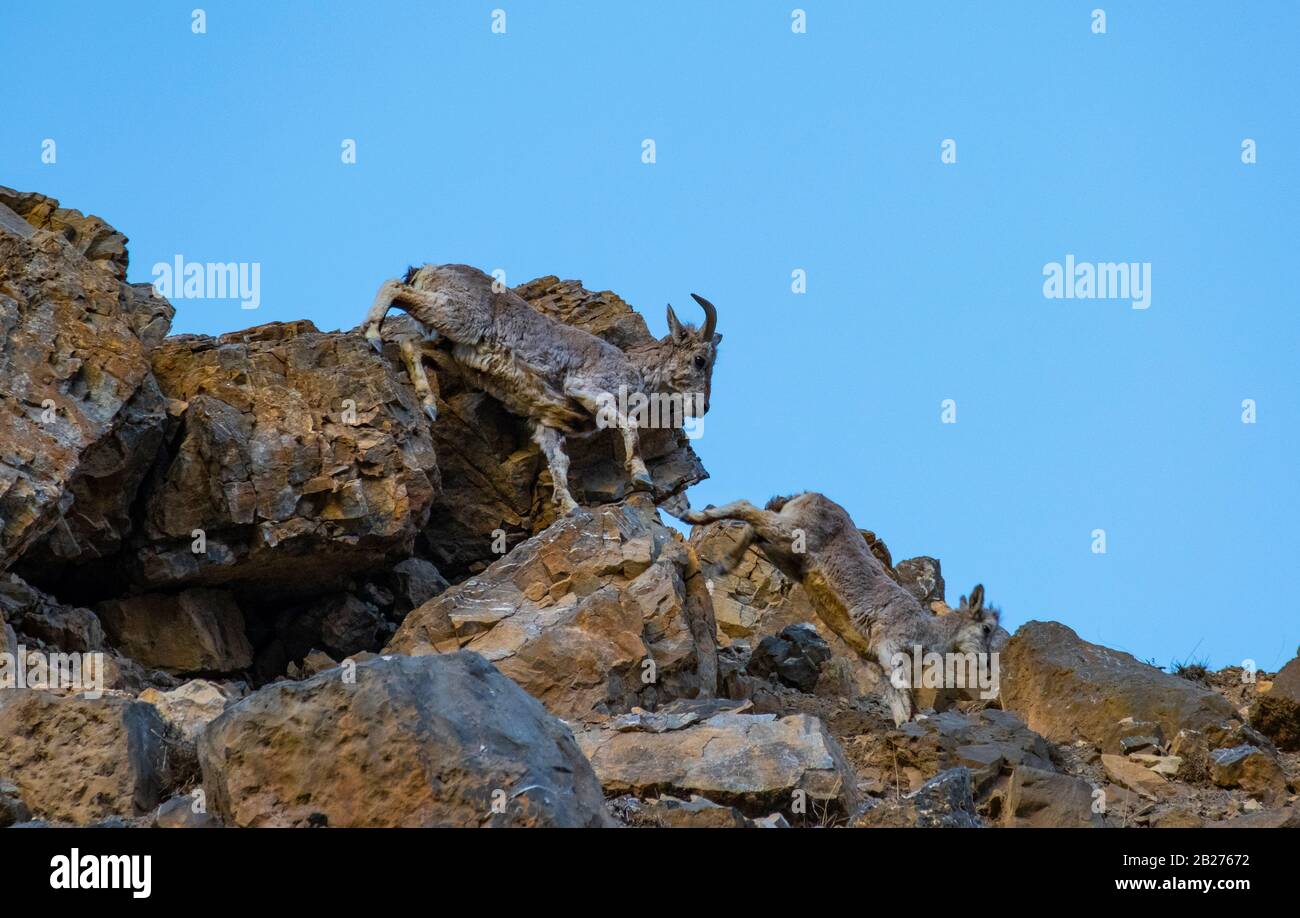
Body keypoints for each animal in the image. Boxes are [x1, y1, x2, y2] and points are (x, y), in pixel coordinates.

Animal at [363, 264, 721, 514]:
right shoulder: (585, 388)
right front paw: (641, 476)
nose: (703, 407)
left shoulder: (548, 422)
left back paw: (428, 404)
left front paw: (570, 508)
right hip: (458, 315)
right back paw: (372, 335)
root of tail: (428, 269)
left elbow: (559, 462)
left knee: (411, 344)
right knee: (394, 288)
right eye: (700, 360)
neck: (634, 369)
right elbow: (629, 425)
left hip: (448, 343)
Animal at [665, 491, 1000, 725]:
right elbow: (902, 693)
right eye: (987, 628)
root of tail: (808, 496)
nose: (986, 662)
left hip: (789, 556)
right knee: (748, 508)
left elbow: (897, 701)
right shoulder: (888, 646)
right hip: (791, 533)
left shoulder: (878, 663)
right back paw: (691, 516)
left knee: (755, 528)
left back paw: (726, 560)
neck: (924, 632)